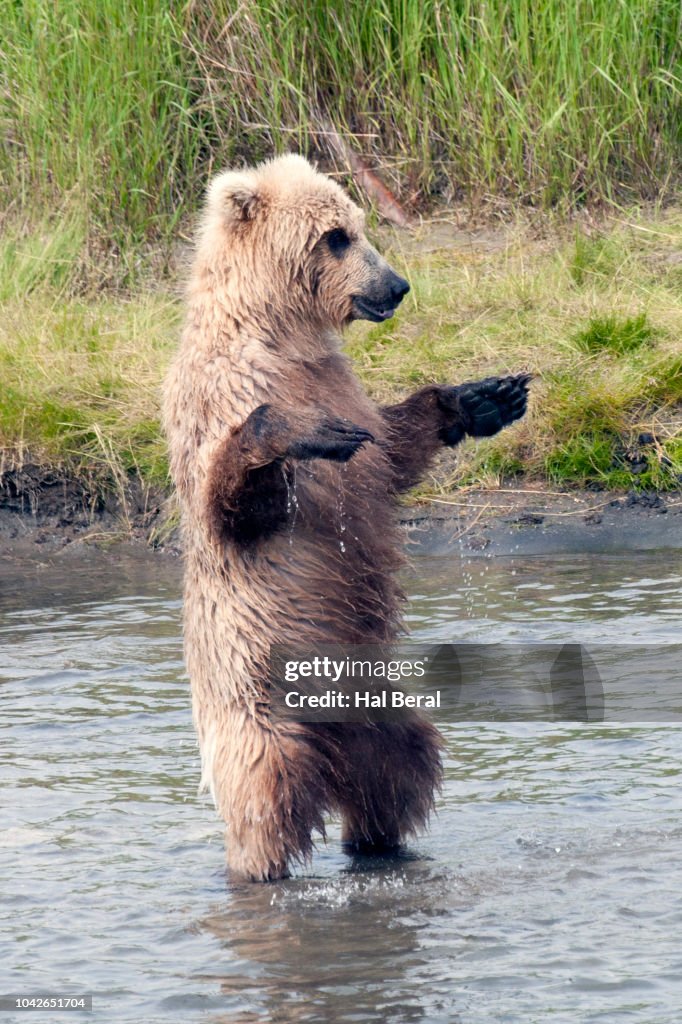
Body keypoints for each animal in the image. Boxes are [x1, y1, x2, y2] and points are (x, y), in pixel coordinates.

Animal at [162, 154, 530, 881]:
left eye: (360, 225)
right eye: (335, 237)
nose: (396, 284)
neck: (281, 334)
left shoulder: (346, 392)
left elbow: (389, 451)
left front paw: (482, 397)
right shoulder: (220, 395)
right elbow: (236, 509)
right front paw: (293, 432)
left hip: (374, 705)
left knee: (398, 768)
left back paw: (384, 845)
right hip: (259, 707)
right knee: (266, 799)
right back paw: (259, 869)